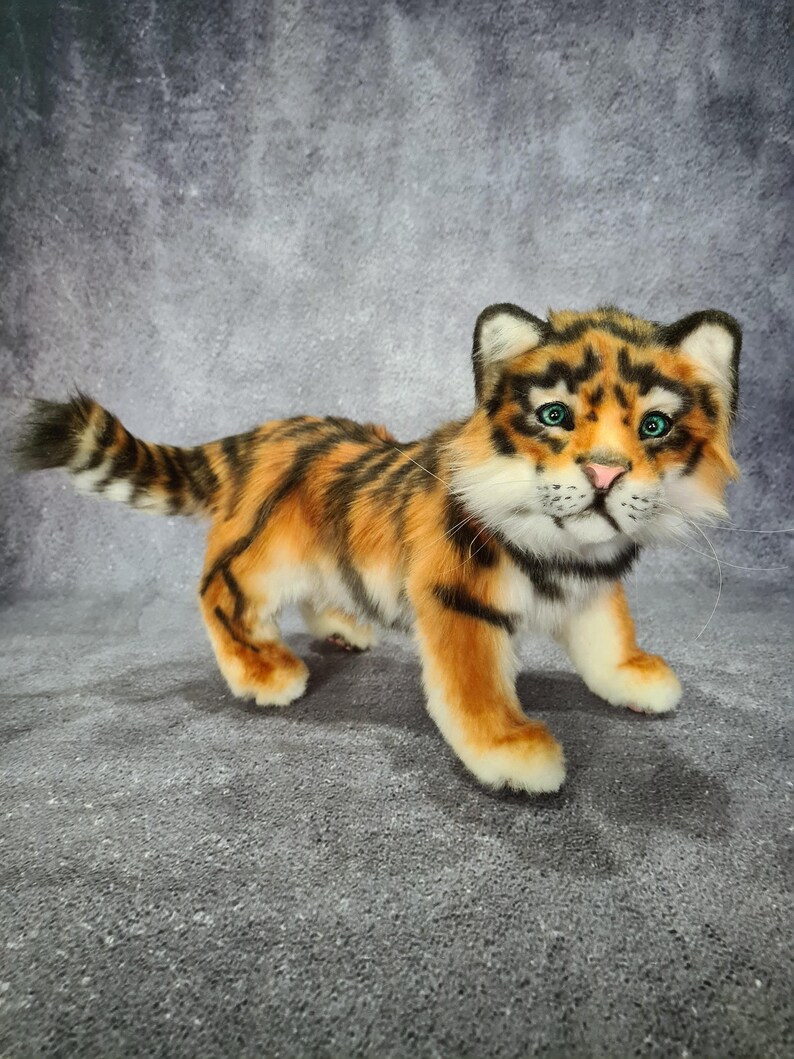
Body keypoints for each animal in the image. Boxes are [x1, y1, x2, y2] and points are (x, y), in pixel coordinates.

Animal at [14, 303, 740, 794]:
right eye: (555, 416)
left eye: (654, 425)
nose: (604, 473)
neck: (564, 547)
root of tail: (257, 436)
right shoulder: (457, 598)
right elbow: (474, 682)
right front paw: (510, 748)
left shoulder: (593, 587)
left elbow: (609, 634)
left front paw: (634, 676)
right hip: (262, 561)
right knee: (217, 590)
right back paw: (263, 672)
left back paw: (345, 629)